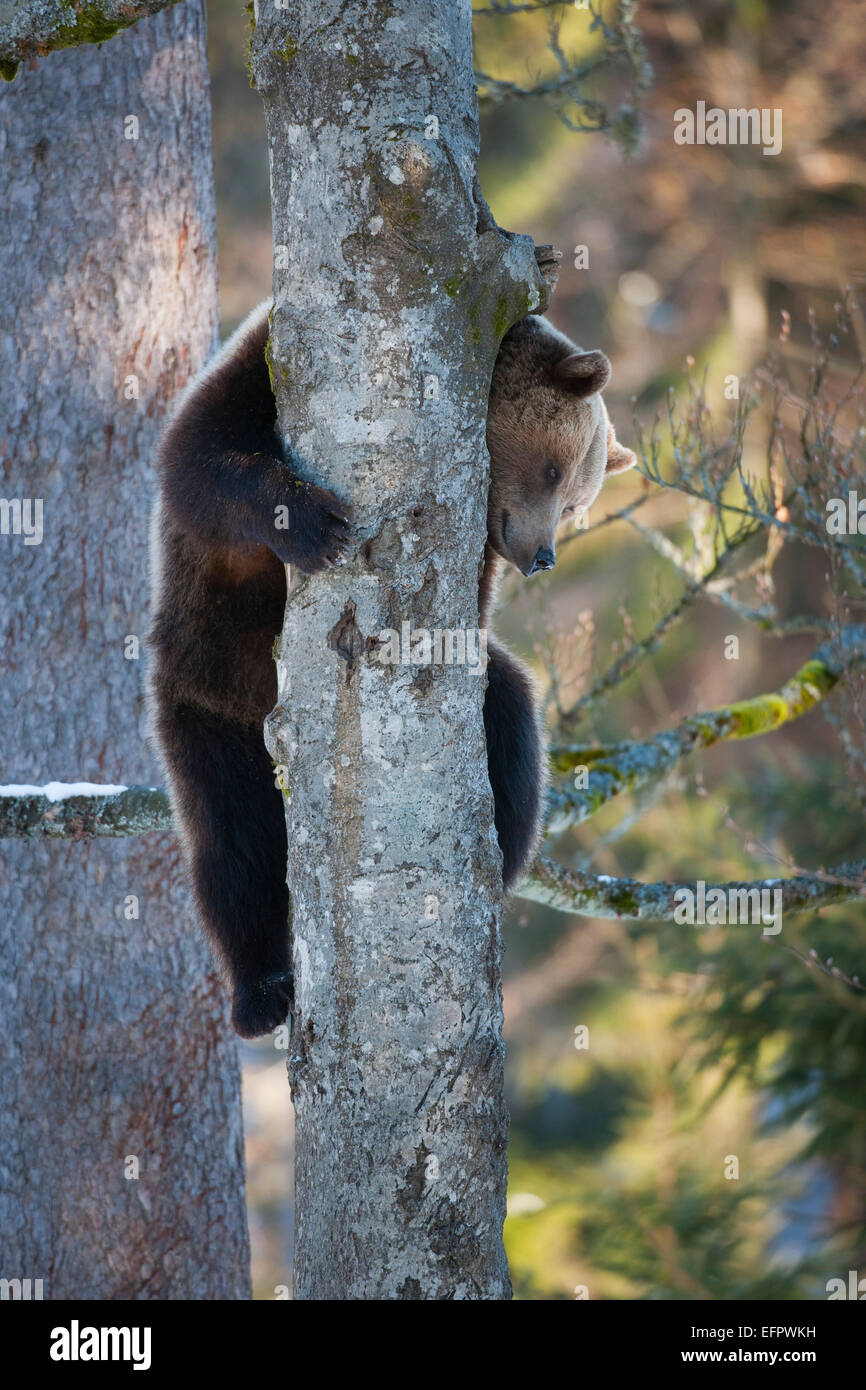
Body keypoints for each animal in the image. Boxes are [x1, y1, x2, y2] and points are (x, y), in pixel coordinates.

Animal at [147, 309, 636, 1039]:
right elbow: (200, 461)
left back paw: (499, 848)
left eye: (579, 499)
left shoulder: (473, 574)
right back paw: (261, 993)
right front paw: (315, 524)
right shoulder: (262, 368)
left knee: (511, 714)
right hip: (204, 694)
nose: (541, 554)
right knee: (233, 840)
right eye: (554, 468)